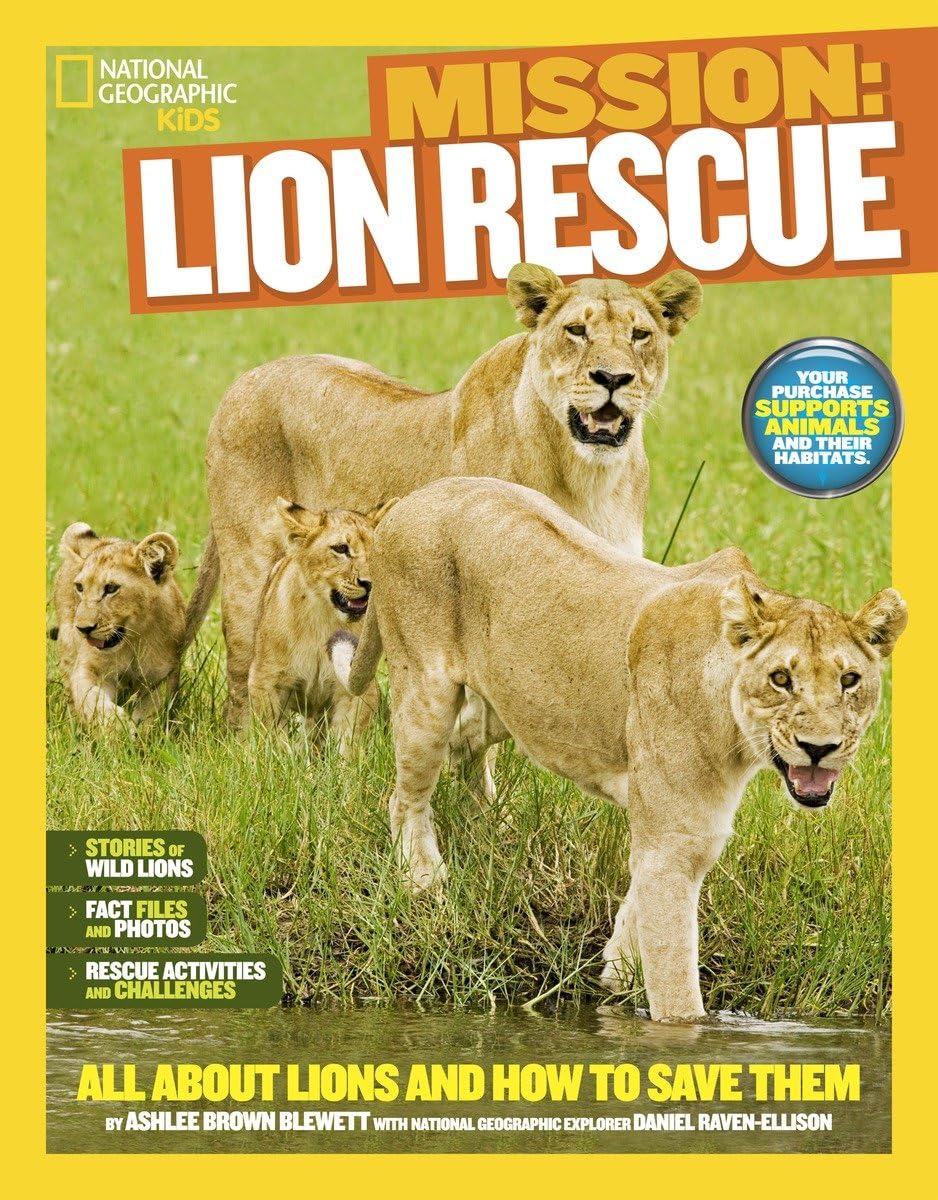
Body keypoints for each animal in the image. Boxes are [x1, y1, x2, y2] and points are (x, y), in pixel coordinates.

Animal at [51, 523, 185, 729]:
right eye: (80, 587)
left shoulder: (161, 677)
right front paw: (118, 729)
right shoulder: (89, 669)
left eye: (111, 588)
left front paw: (140, 733)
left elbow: (150, 714)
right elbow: (93, 701)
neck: (133, 640)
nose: (83, 629)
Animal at [247, 499, 391, 752]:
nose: (370, 583)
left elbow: (349, 741)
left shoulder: (356, 687)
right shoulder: (265, 682)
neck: (322, 619)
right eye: (341, 549)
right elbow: (274, 739)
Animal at [329, 477, 907, 1021]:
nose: (819, 748)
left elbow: (640, 916)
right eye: (781, 679)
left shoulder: (686, 833)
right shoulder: (676, 841)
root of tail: (410, 499)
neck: (738, 739)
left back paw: (489, 824)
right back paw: (424, 880)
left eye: (850, 680)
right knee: (405, 795)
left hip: (507, 701)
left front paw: (616, 971)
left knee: (465, 744)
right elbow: (675, 979)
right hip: (425, 690)